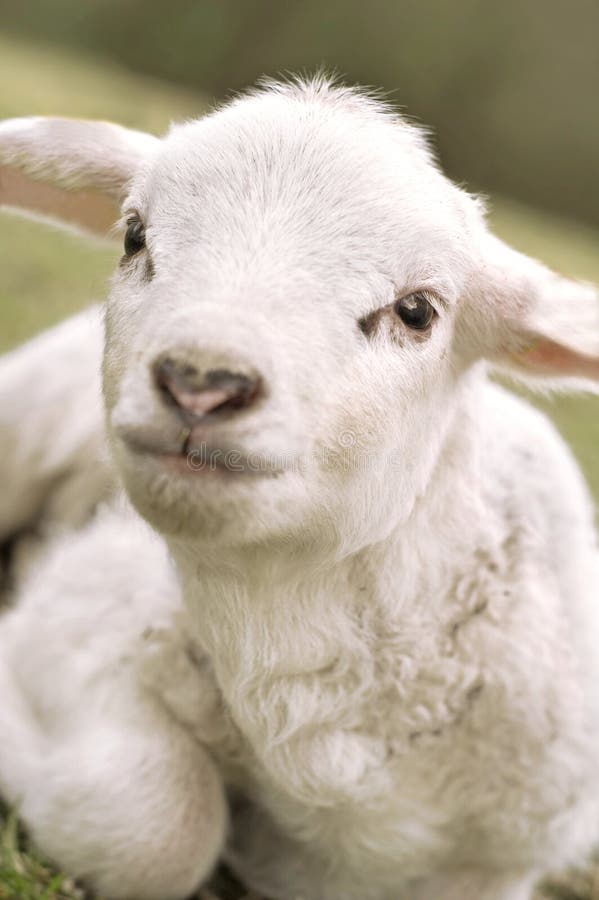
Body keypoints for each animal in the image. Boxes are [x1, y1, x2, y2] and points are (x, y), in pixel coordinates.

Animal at [1, 77, 599, 900]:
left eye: (417, 311)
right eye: (134, 236)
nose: (201, 381)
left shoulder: (500, 861)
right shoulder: (84, 612)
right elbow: (159, 833)